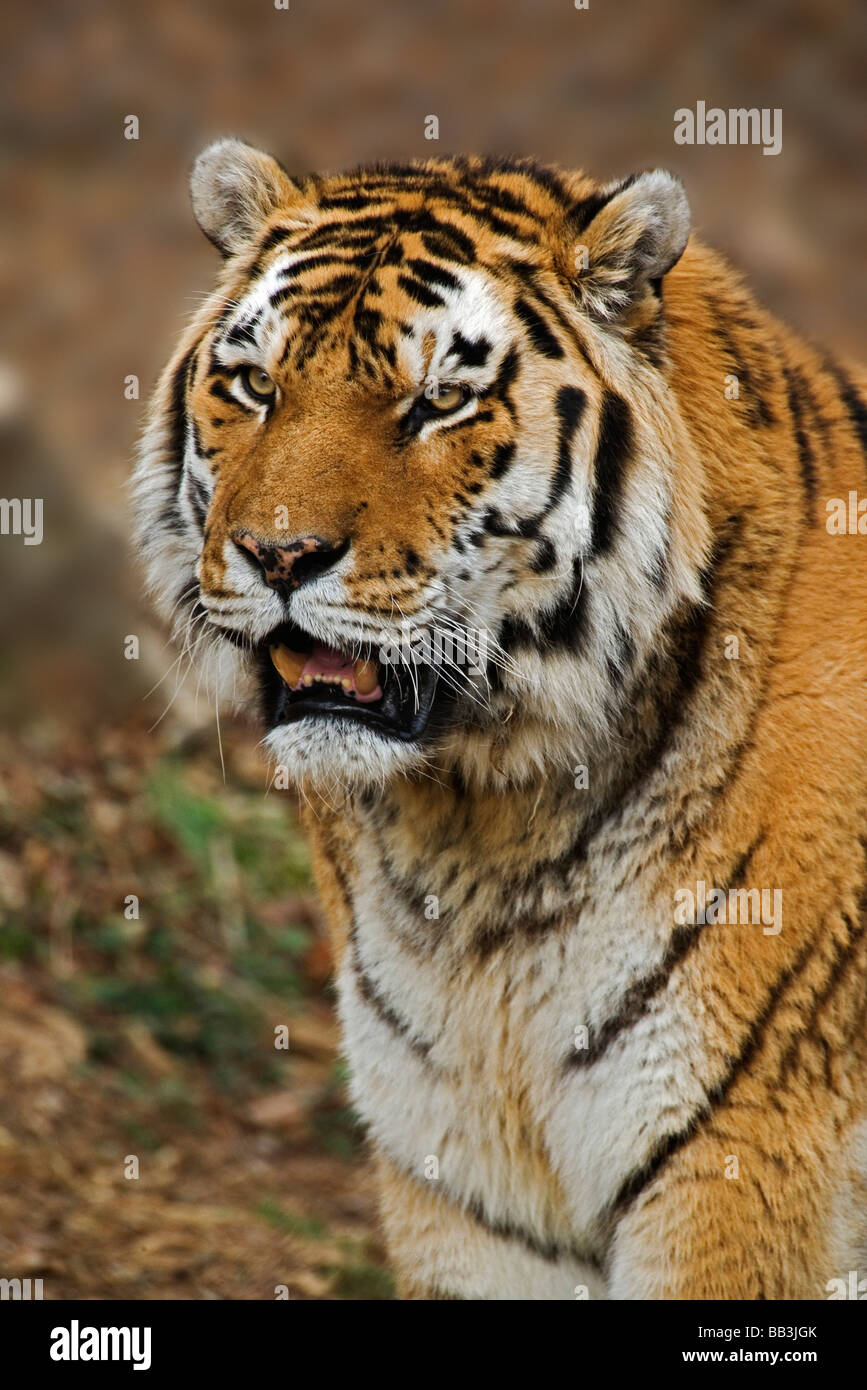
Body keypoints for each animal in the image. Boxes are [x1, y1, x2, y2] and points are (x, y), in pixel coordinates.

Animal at [133, 138, 867, 1300]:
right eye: (255, 385)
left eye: (439, 402)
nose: (279, 554)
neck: (481, 841)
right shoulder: (467, 1190)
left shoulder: (744, 1163)